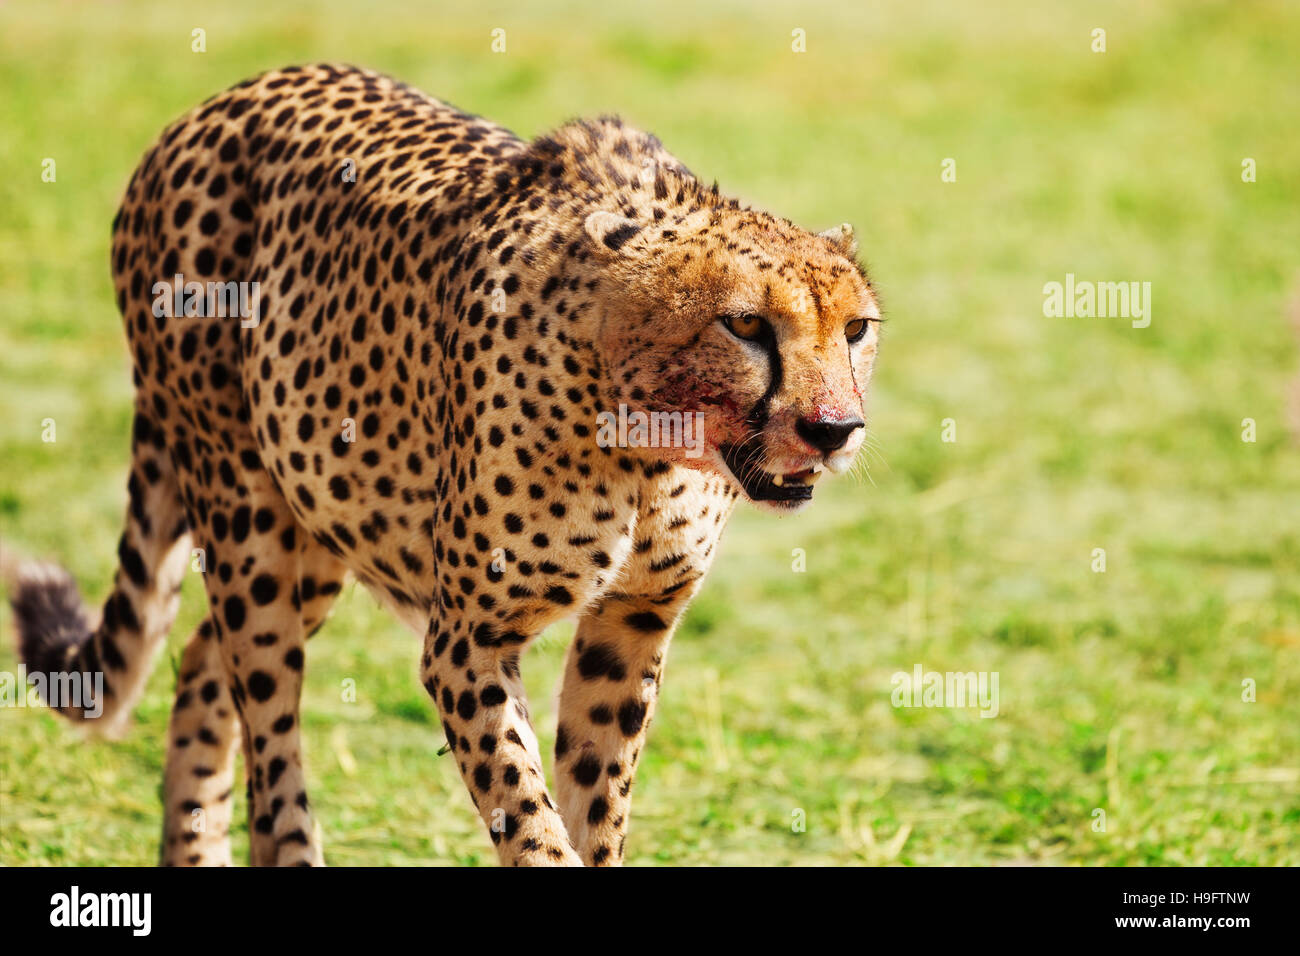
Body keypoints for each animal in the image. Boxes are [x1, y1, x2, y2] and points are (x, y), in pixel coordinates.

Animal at [9, 63, 882, 866]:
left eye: (857, 330)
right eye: (747, 325)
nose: (834, 429)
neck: (652, 446)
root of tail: (217, 101)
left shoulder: (633, 623)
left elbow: (595, 801)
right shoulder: (468, 639)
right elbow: (528, 814)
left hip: (321, 521)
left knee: (200, 657)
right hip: (248, 518)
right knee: (266, 726)